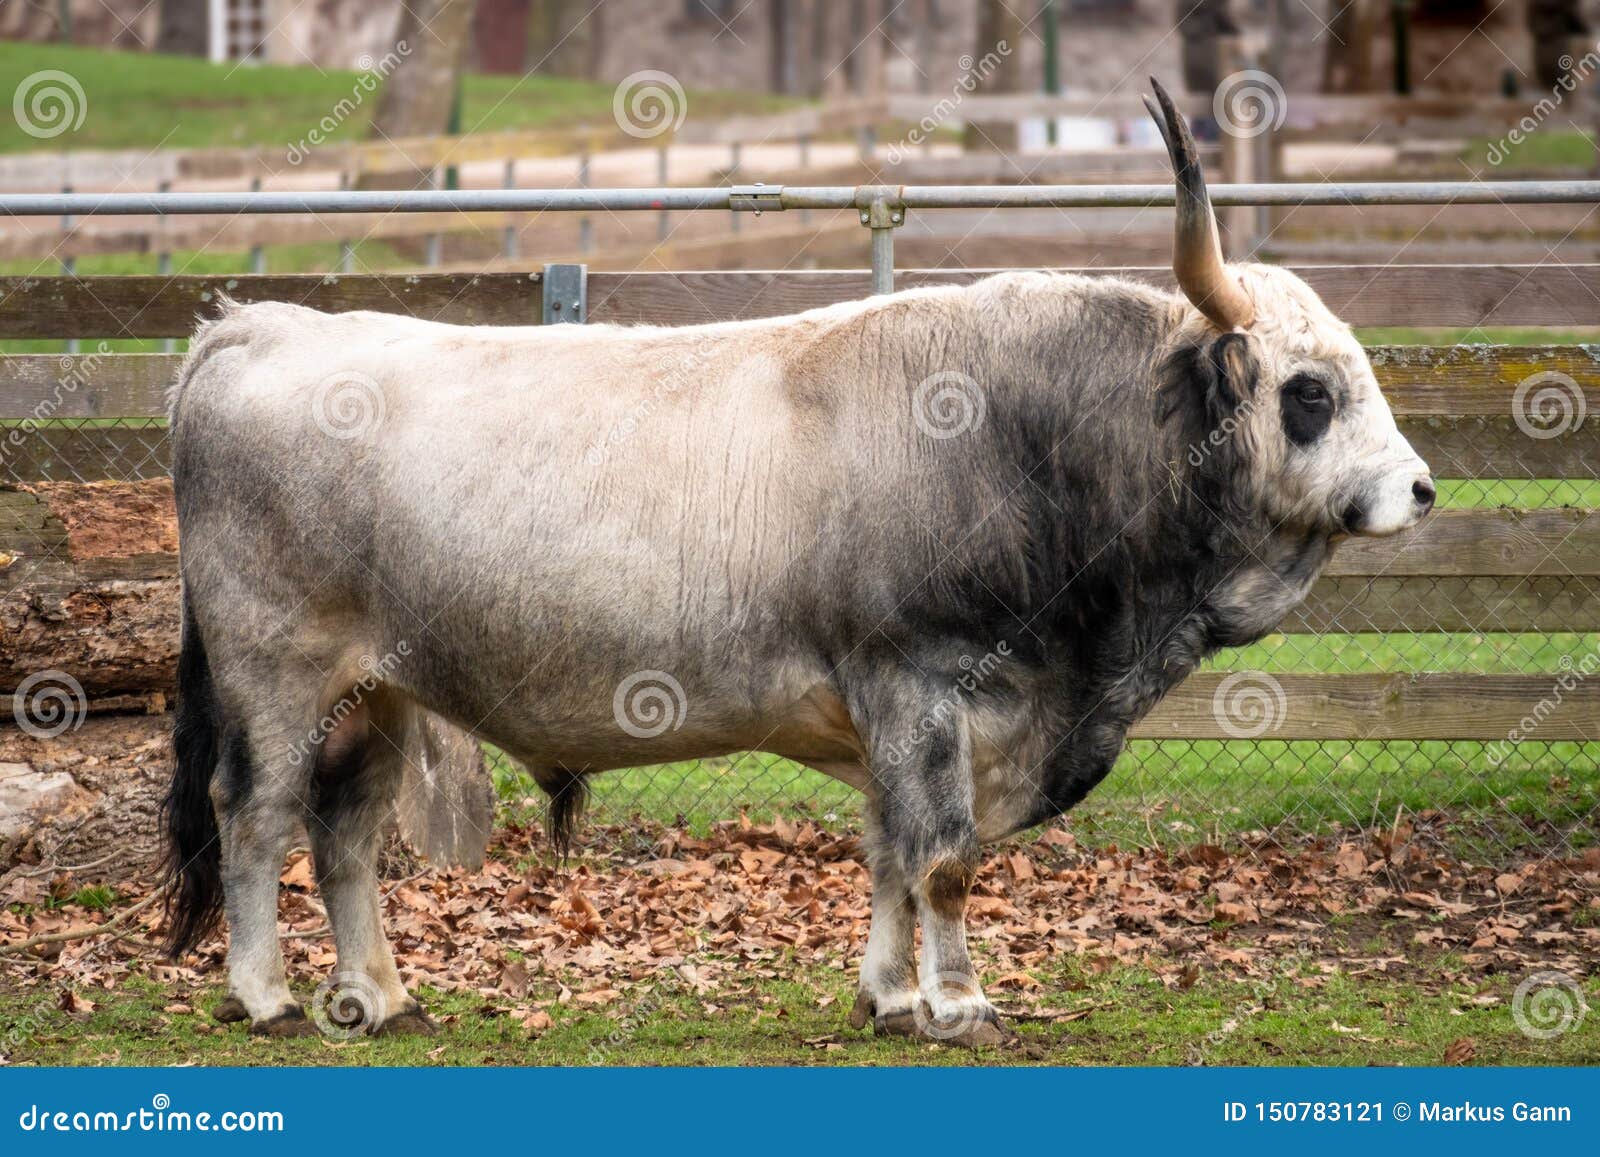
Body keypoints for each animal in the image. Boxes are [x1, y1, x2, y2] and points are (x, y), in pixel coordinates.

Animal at [159, 81, 1433, 1046]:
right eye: (1309, 391)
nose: (1420, 489)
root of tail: (254, 324)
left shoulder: (896, 718)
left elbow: (888, 854)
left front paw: (889, 996)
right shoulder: (920, 682)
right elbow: (944, 858)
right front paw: (959, 1003)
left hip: (377, 690)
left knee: (343, 832)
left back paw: (377, 994)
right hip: (276, 670)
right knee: (255, 813)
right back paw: (265, 993)